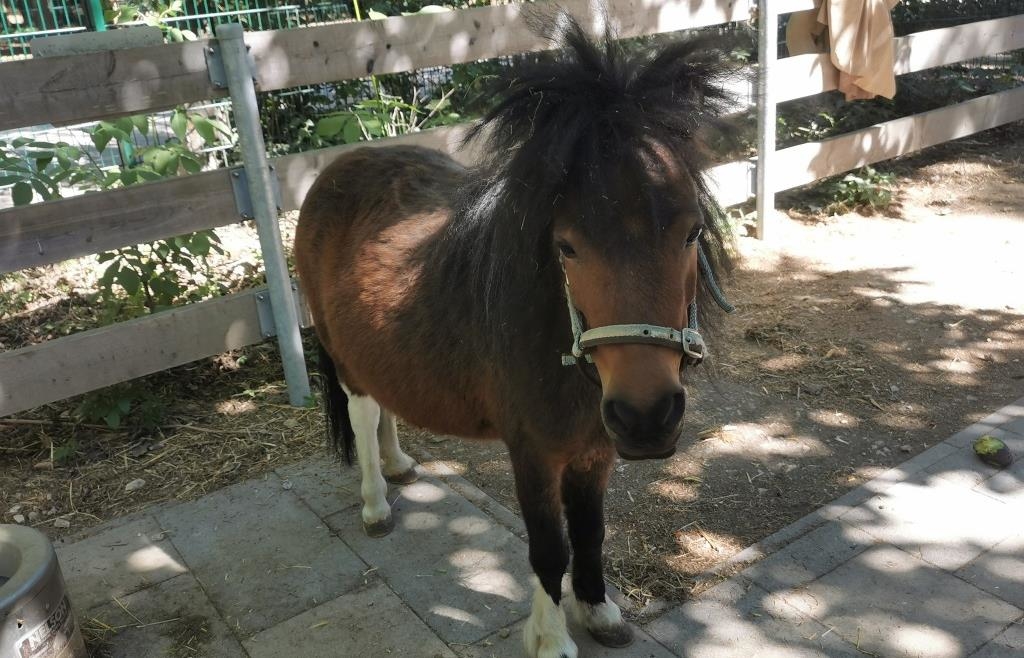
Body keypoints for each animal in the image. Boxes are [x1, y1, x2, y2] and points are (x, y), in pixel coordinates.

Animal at [294, 18, 735, 658]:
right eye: (566, 245)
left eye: (691, 231)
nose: (647, 417)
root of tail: (336, 169)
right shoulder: (532, 453)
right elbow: (550, 549)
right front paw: (551, 639)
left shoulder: (596, 450)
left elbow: (591, 531)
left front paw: (598, 609)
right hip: (344, 360)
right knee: (362, 413)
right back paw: (376, 502)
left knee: (384, 406)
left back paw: (400, 464)